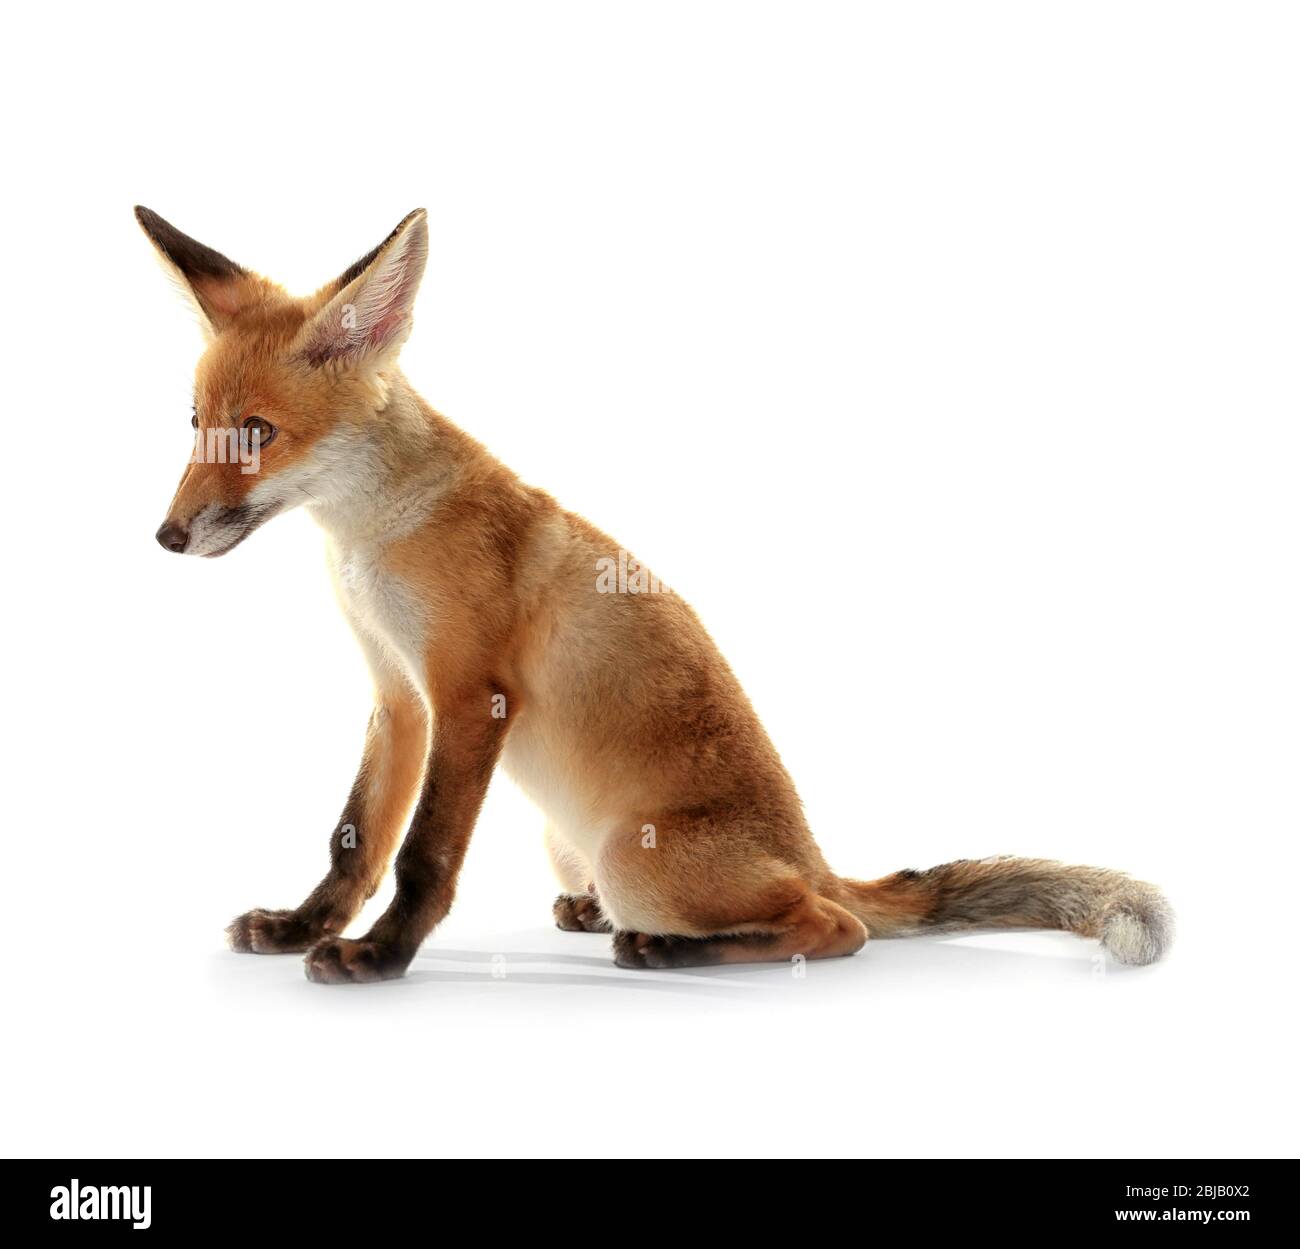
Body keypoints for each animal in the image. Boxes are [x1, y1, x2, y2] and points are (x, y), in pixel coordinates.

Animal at [139, 206, 1173, 983]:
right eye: (195, 424)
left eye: (258, 432)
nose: (165, 536)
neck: (370, 537)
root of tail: (811, 850)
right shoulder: (400, 699)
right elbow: (356, 841)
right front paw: (303, 926)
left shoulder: (471, 696)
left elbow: (426, 853)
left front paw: (380, 957)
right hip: (569, 842)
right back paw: (597, 919)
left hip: (634, 856)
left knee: (838, 926)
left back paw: (672, 948)